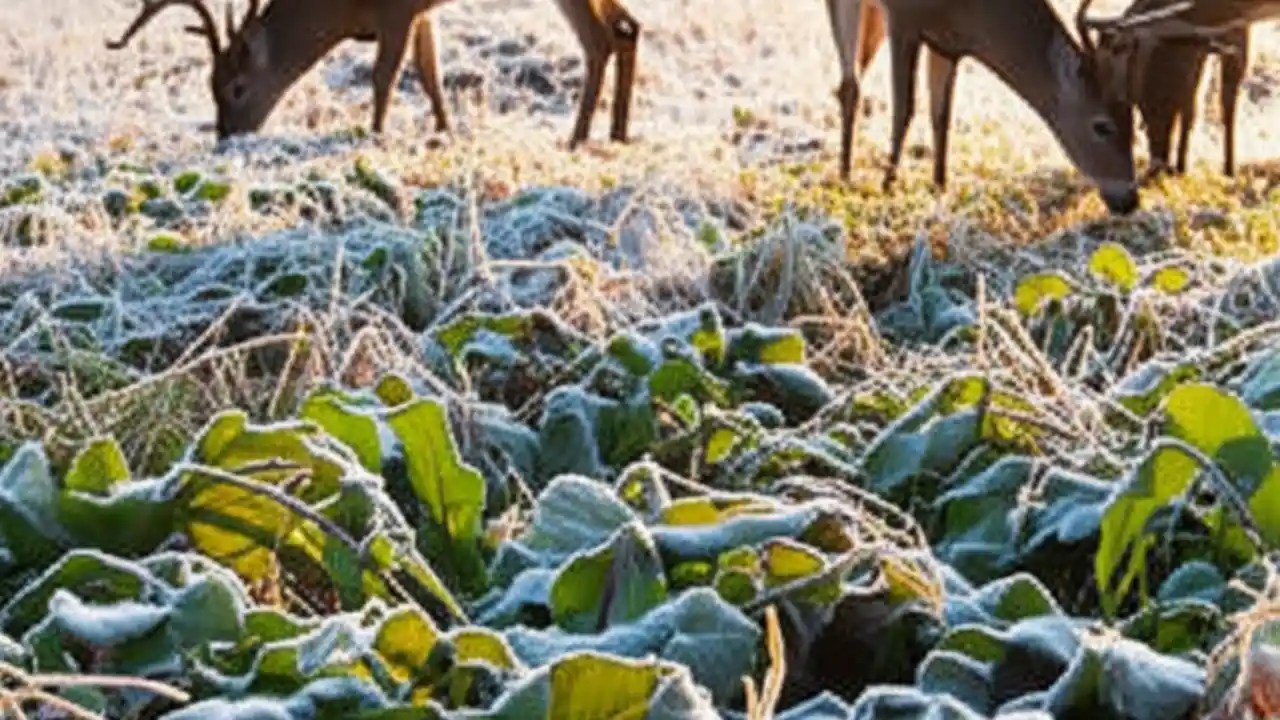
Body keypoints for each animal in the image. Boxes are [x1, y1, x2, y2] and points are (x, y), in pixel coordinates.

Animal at [104, 0, 640, 148]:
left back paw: (577, 137)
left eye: (236, 88)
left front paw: (375, 133)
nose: (226, 137)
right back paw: (617, 133)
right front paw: (445, 130)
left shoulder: (397, 11)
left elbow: (385, 75)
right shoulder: (419, 13)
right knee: (628, 29)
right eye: (208, 86)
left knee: (600, 40)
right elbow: (429, 72)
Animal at [823, 0, 1141, 215]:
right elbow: (905, 108)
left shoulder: (947, 46)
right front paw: (887, 186)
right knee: (850, 87)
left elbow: (942, 115)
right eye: (1102, 126)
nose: (1130, 201)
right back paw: (844, 177)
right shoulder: (904, 20)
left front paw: (939, 188)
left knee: (851, 80)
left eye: (1132, 118)